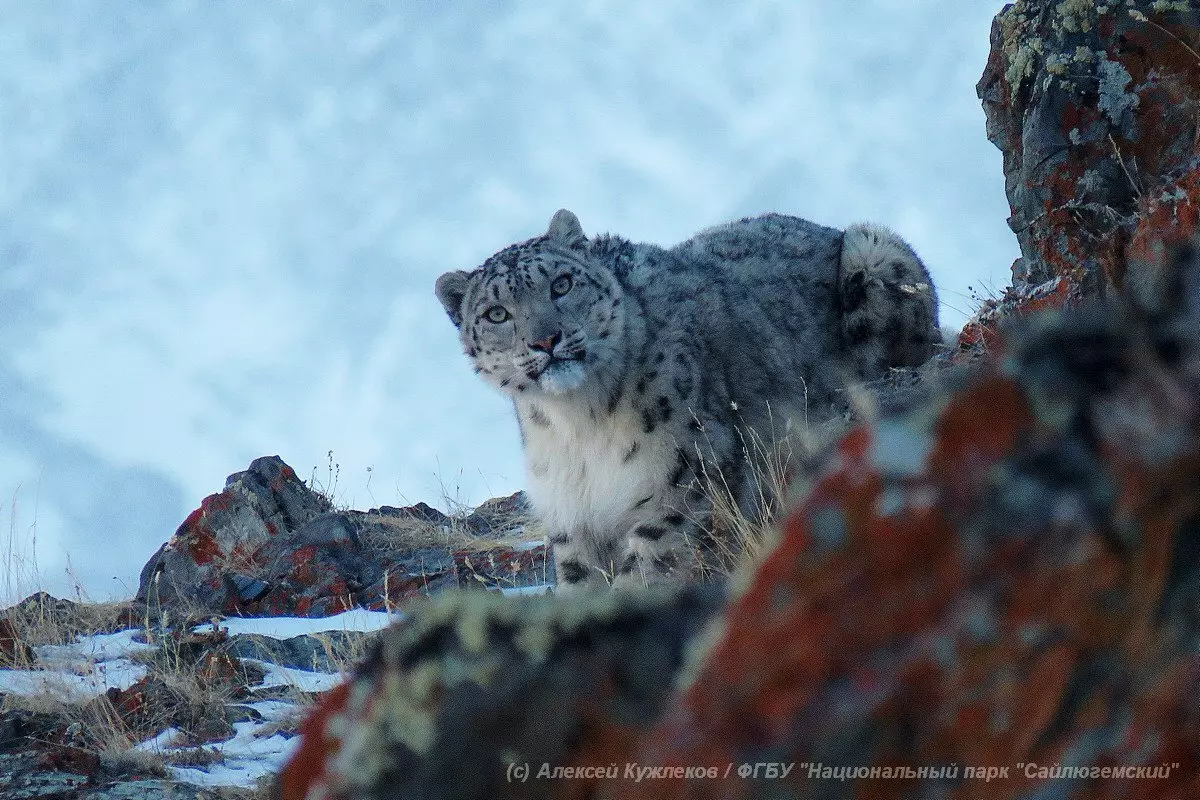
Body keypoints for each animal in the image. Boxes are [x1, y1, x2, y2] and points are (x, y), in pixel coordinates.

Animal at [436, 209, 940, 592]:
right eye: (496, 313)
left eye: (561, 284)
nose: (546, 339)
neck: (578, 423)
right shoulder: (570, 514)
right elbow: (578, 582)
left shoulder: (686, 477)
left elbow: (648, 566)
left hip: (874, 250)